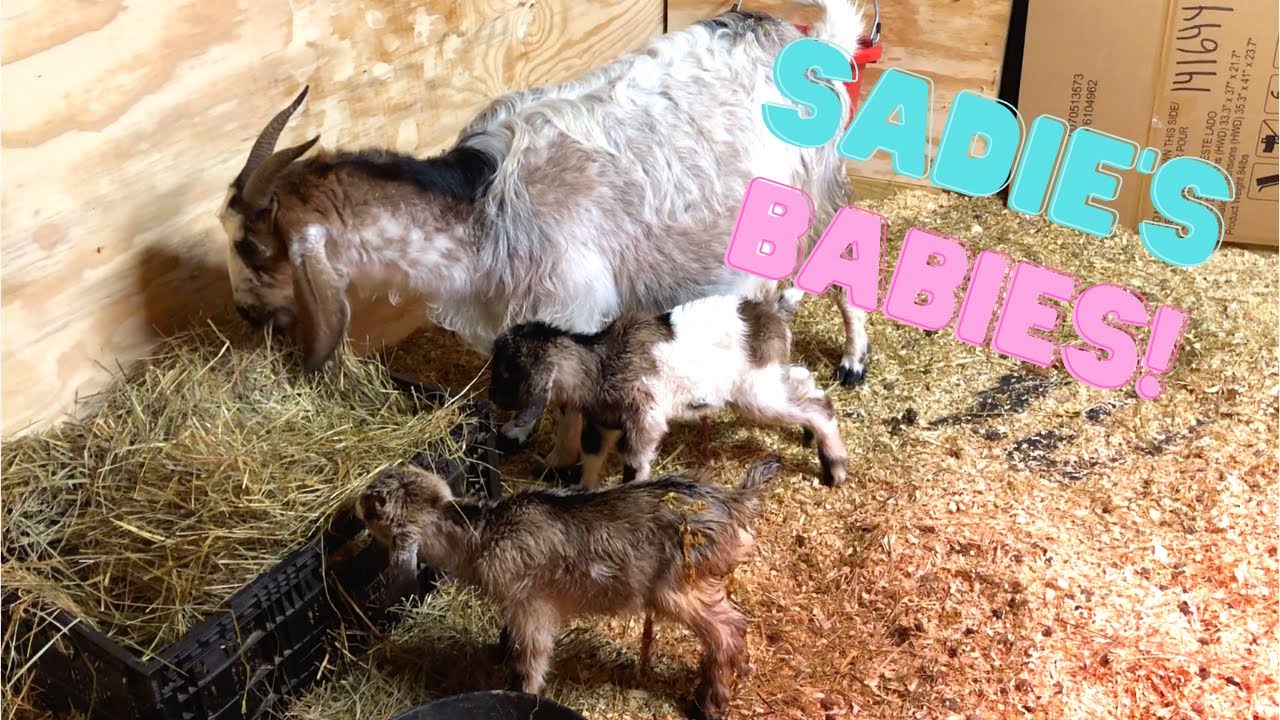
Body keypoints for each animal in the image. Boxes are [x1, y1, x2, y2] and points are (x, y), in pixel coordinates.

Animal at [355, 459, 781, 720]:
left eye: (376, 508)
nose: (358, 500)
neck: (484, 534)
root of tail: (736, 501)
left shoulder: (533, 608)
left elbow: (531, 660)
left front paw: (521, 690)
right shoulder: (517, 607)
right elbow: (508, 636)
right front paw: (496, 650)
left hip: (680, 588)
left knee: (729, 630)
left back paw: (709, 703)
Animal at [487, 289, 849, 489]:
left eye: (505, 372)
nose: (490, 397)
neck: (602, 362)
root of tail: (775, 312)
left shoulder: (644, 418)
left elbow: (634, 464)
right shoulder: (602, 421)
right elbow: (591, 454)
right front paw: (584, 491)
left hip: (757, 394)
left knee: (819, 407)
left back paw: (834, 468)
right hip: (770, 376)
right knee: (806, 381)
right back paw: (808, 435)